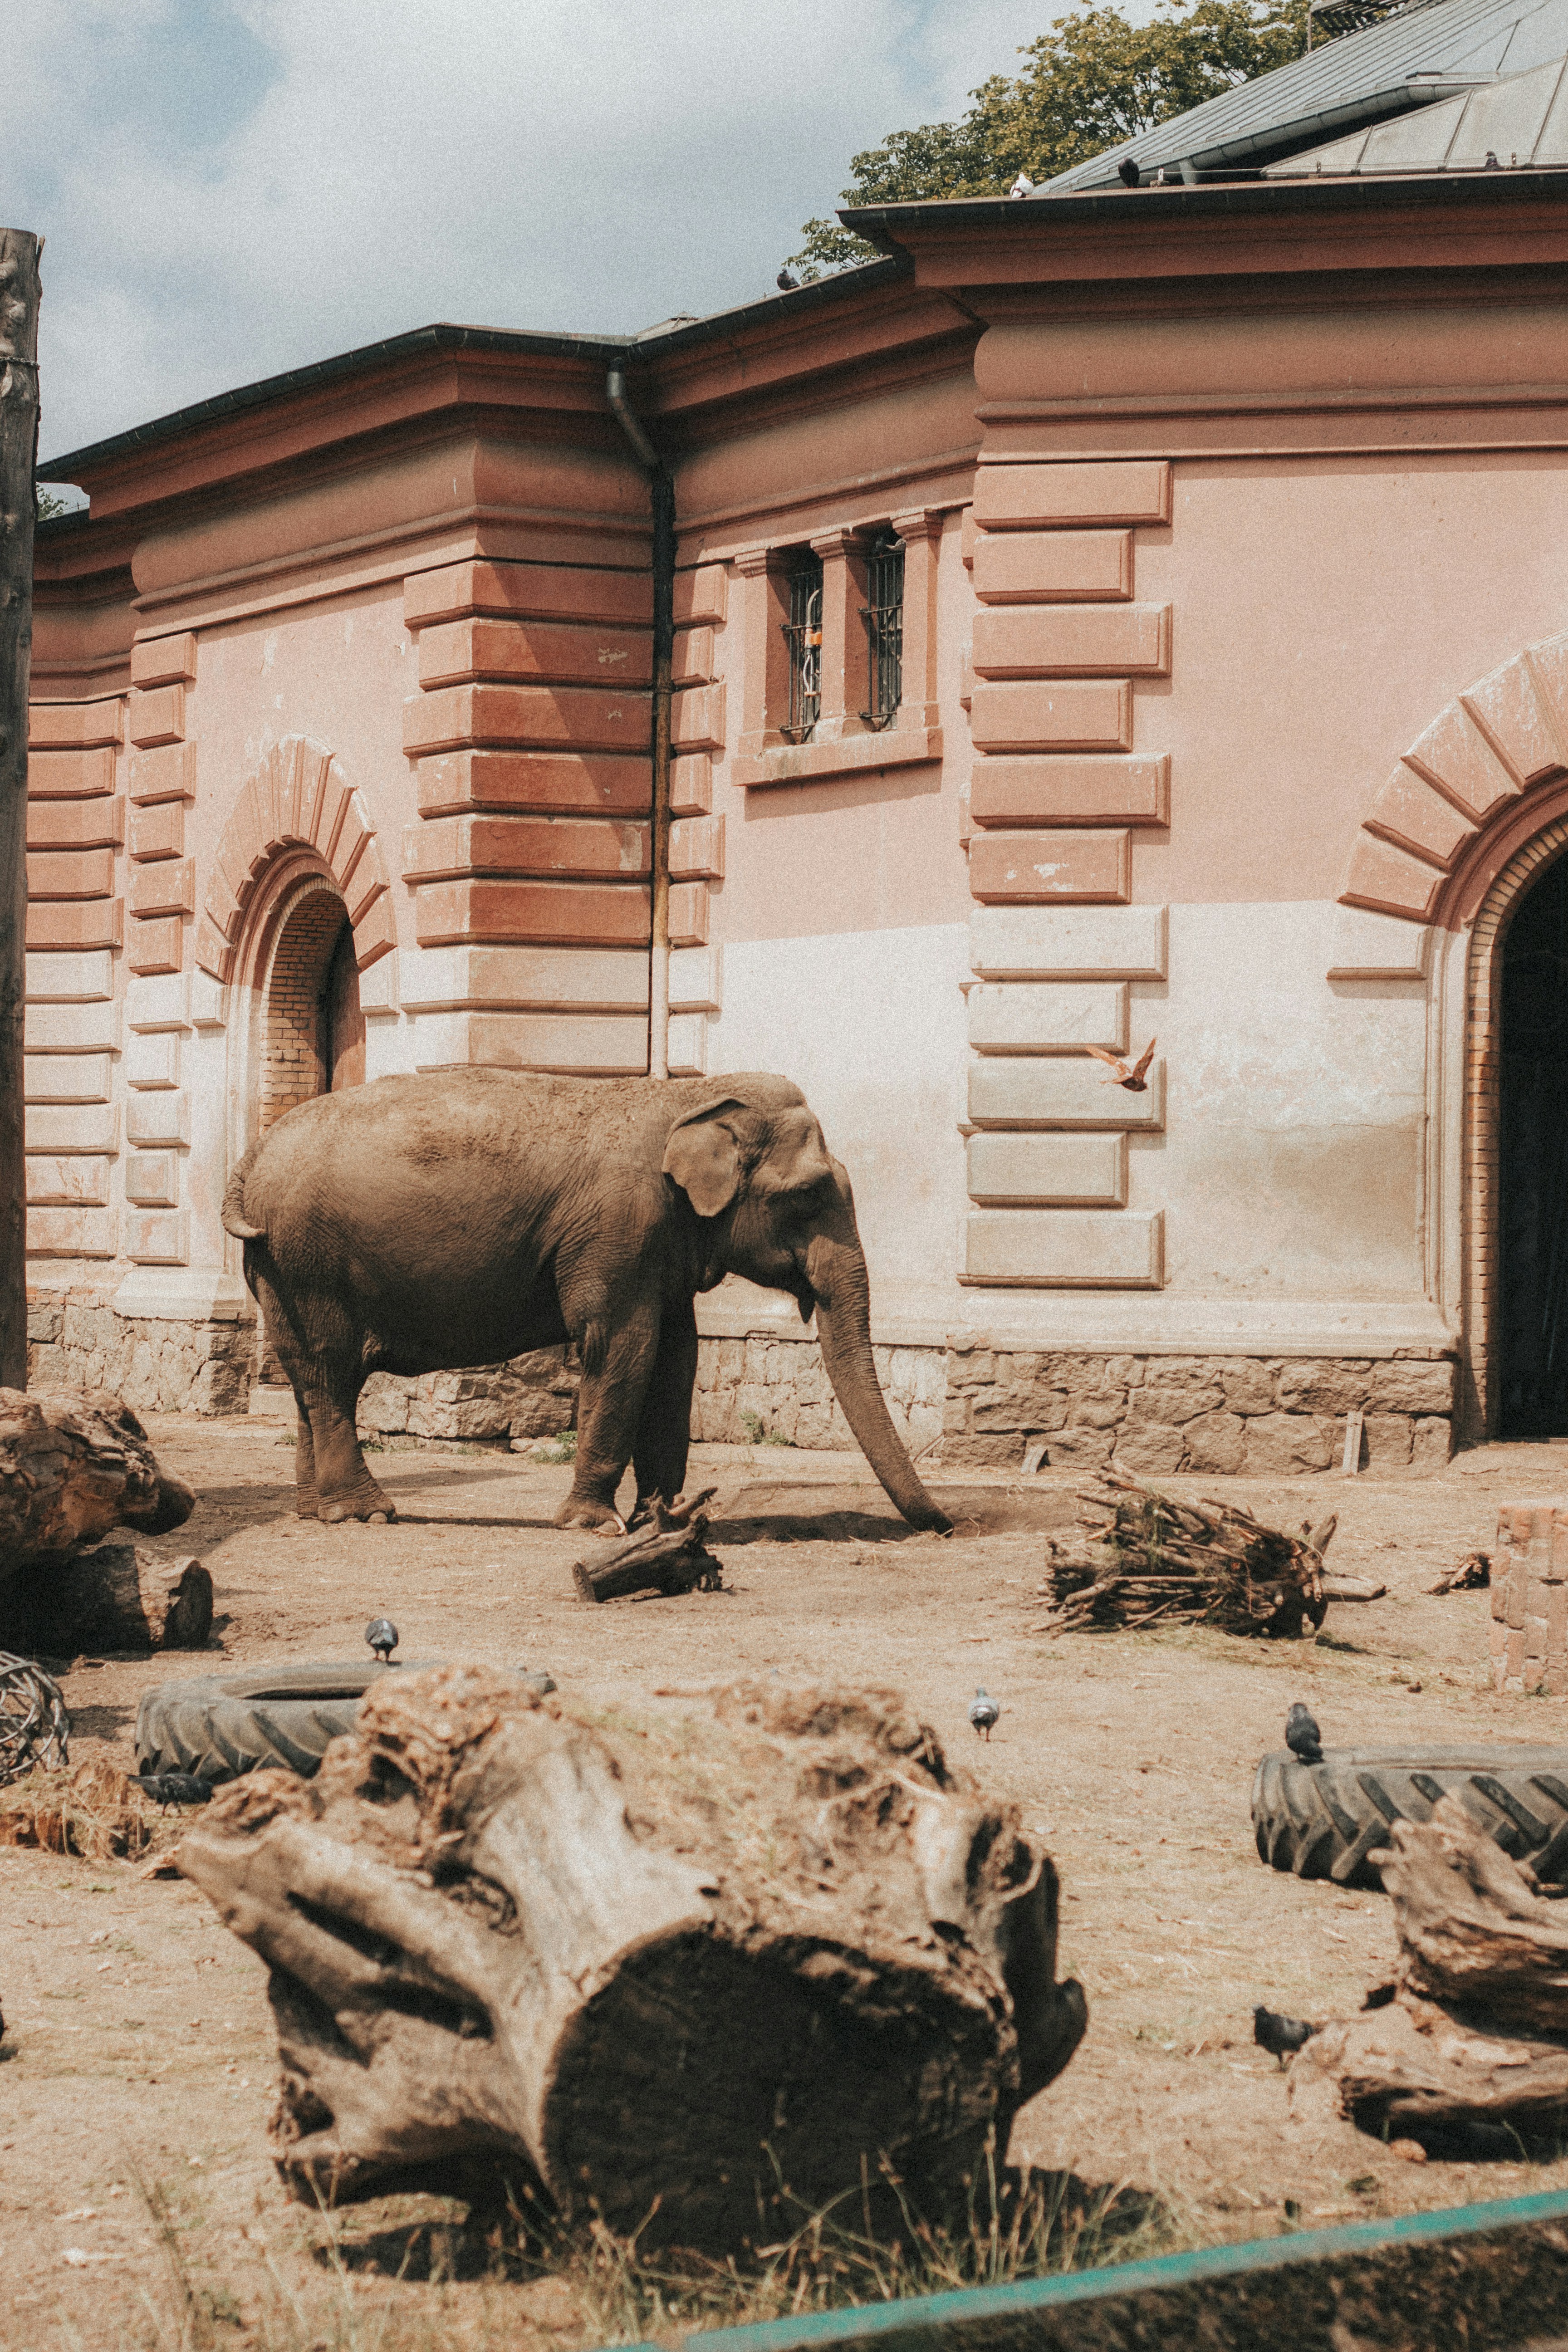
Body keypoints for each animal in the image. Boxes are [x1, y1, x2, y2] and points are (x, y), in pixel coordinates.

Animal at [221, 1069, 953, 1536]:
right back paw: (366, 1514)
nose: (948, 1526)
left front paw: (668, 1520)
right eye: (806, 1196)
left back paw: (315, 1512)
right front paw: (597, 1527)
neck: (688, 1094)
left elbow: (678, 1360)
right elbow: (622, 1347)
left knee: (306, 1379)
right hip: (308, 1261)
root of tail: (250, 1159)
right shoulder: (618, 1228)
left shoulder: (659, 1246)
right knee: (331, 1372)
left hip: (278, 1268)